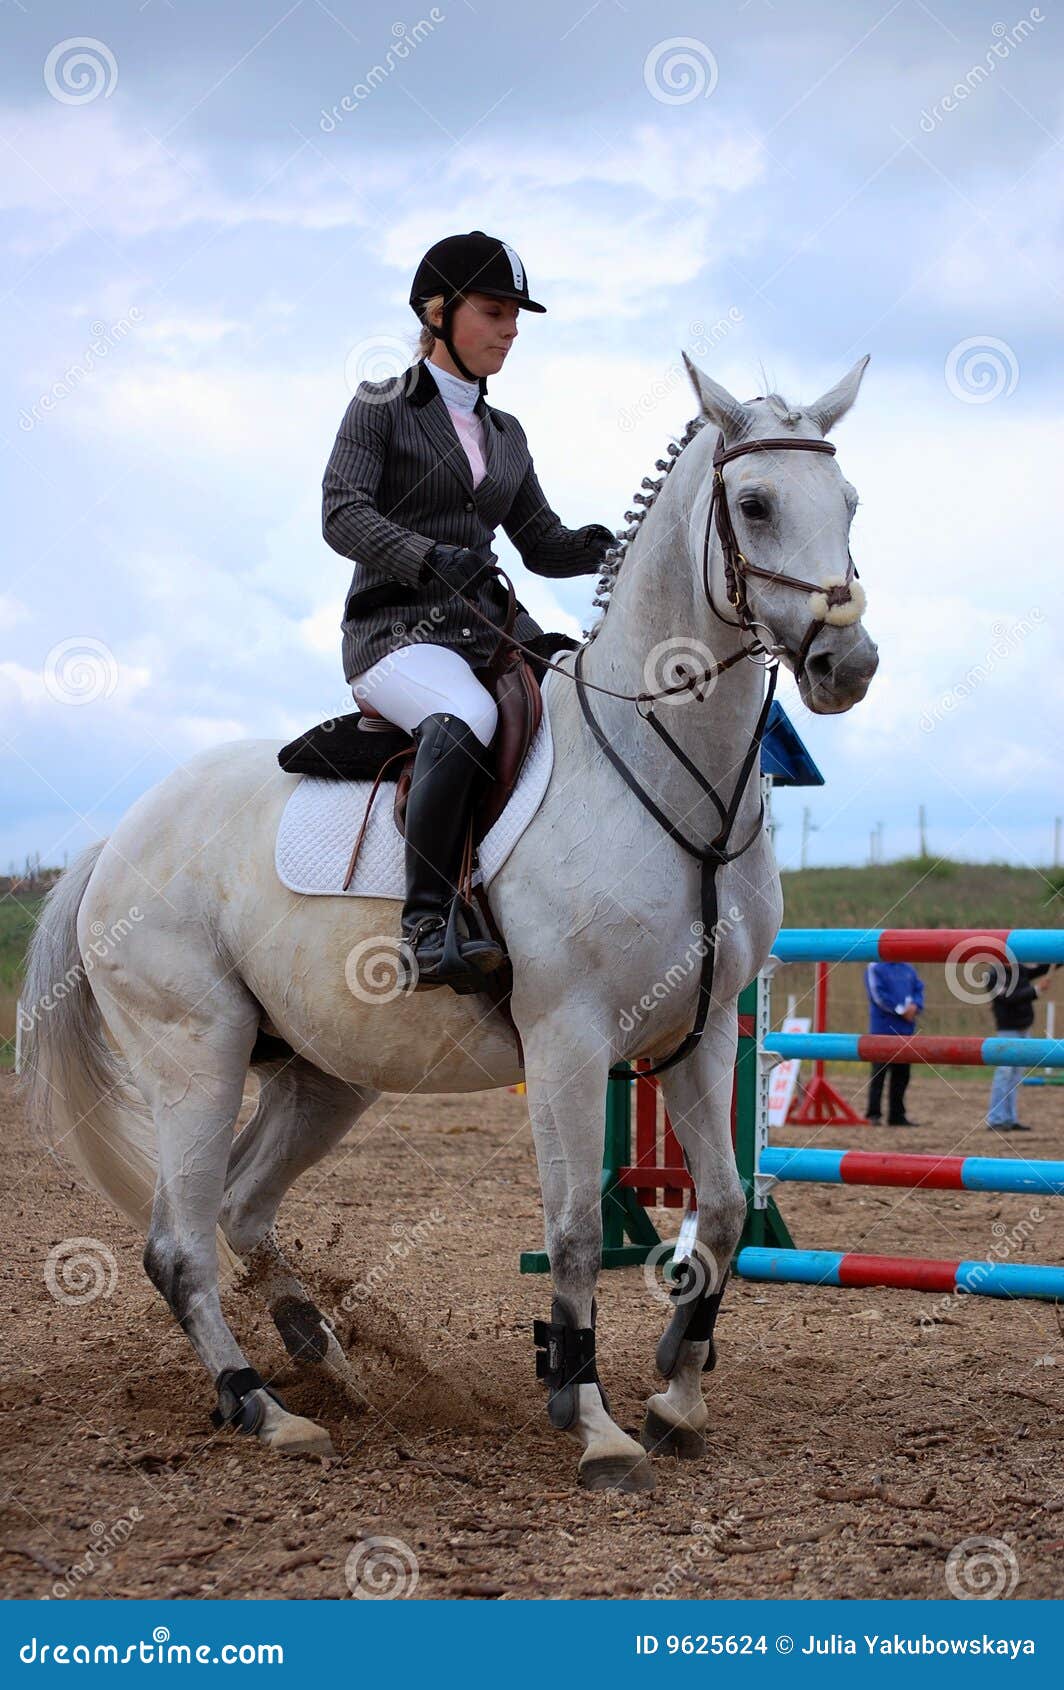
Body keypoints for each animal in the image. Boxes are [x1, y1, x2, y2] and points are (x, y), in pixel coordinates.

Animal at [19, 353, 878, 1492]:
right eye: (755, 504)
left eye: (849, 501)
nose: (847, 664)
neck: (668, 774)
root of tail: (117, 837)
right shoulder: (567, 1044)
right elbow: (572, 1228)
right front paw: (592, 1420)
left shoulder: (700, 1034)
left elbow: (729, 1209)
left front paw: (675, 1391)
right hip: (193, 1053)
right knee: (181, 1242)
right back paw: (263, 1408)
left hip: (322, 1073)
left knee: (242, 1206)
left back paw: (324, 1356)